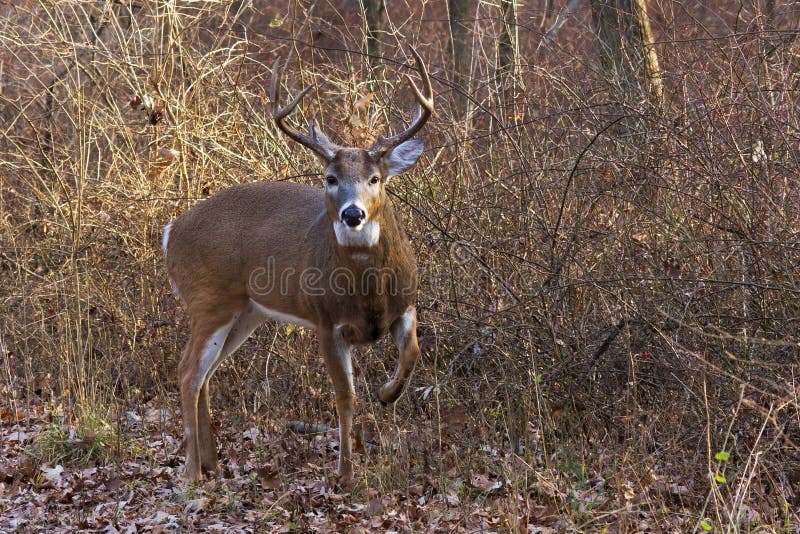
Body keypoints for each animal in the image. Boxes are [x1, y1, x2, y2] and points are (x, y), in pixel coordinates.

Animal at [162, 48, 433, 482]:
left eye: (375, 178)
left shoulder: (406, 304)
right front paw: (345, 474)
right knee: (189, 372)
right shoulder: (326, 321)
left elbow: (412, 354)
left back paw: (212, 462)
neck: (368, 290)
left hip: (247, 312)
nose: (353, 214)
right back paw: (192, 471)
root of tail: (170, 232)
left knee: (206, 373)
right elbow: (345, 396)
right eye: (330, 178)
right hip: (208, 299)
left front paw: (387, 394)